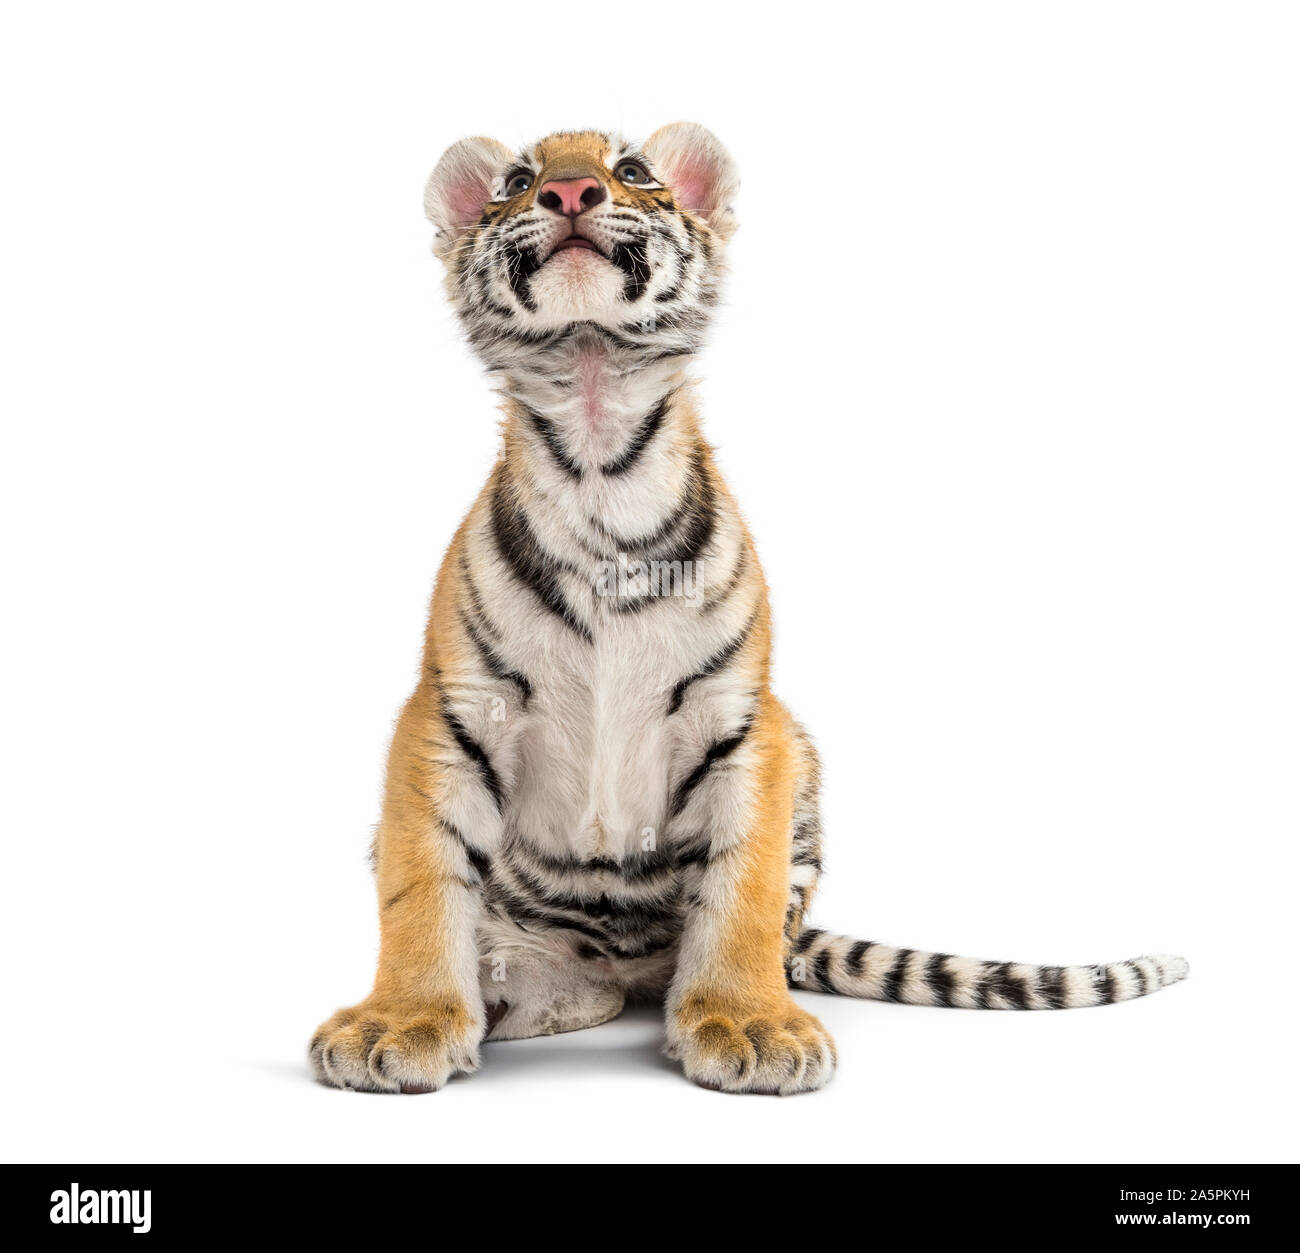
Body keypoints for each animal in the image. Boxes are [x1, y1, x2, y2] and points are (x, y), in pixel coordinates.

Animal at [309, 123, 1188, 1096]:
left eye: (633, 171)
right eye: (515, 181)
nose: (571, 192)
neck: (597, 433)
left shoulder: (743, 723)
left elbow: (744, 890)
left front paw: (749, 1023)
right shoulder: (452, 714)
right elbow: (420, 884)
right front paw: (403, 1021)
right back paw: (510, 994)